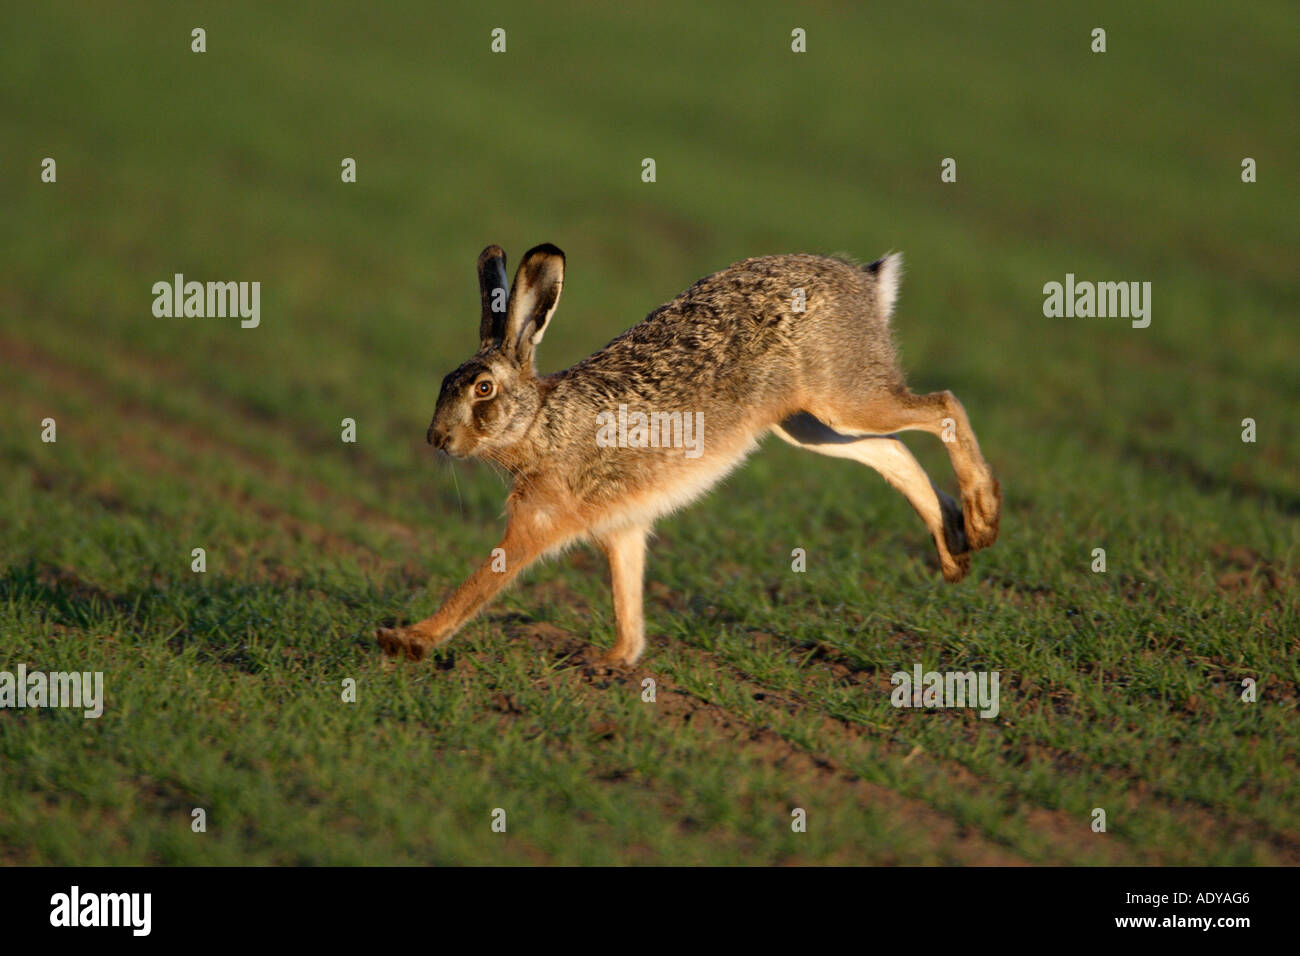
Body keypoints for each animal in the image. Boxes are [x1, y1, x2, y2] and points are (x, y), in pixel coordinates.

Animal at [376, 243, 1001, 666]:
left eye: (482, 389)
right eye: (445, 382)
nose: (436, 440)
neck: (539, 423)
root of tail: (867, 282)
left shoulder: (538, 521)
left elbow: (481, 583)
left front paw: (407, 639)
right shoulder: (623, 528)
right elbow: (627, 597)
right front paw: (614, 660)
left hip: (843, 394)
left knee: (942, 405)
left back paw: (983, 519)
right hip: (809, 424)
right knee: (891, 448)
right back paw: (955, 552)